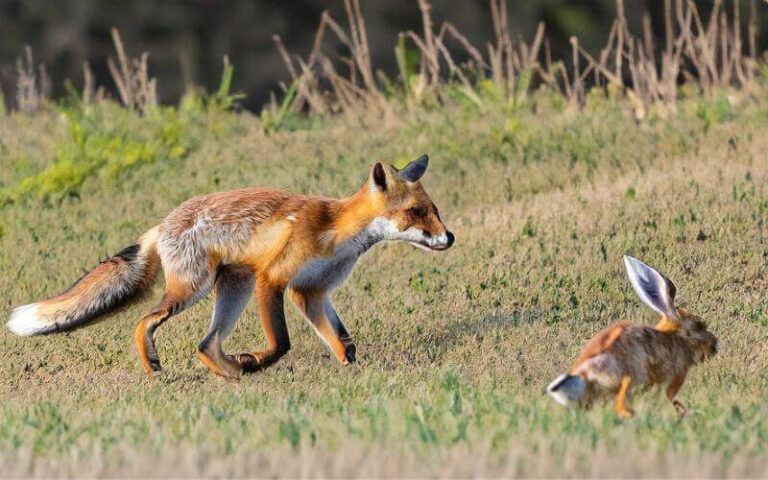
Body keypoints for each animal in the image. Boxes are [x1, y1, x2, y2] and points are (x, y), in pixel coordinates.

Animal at [7, 155, 454, 380]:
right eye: (416, 213)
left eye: (434, 210)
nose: (449, 238)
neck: (334, 230)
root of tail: (163, 223)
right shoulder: (274, 280)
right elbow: (282, 343)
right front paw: (261, 359)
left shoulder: (311, 291)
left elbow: (343, 342)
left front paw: (351, 371)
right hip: (194, 290)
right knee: (144, 322)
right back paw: (158, 366)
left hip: (233, 289)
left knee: (204, 345)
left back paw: (232, 372)